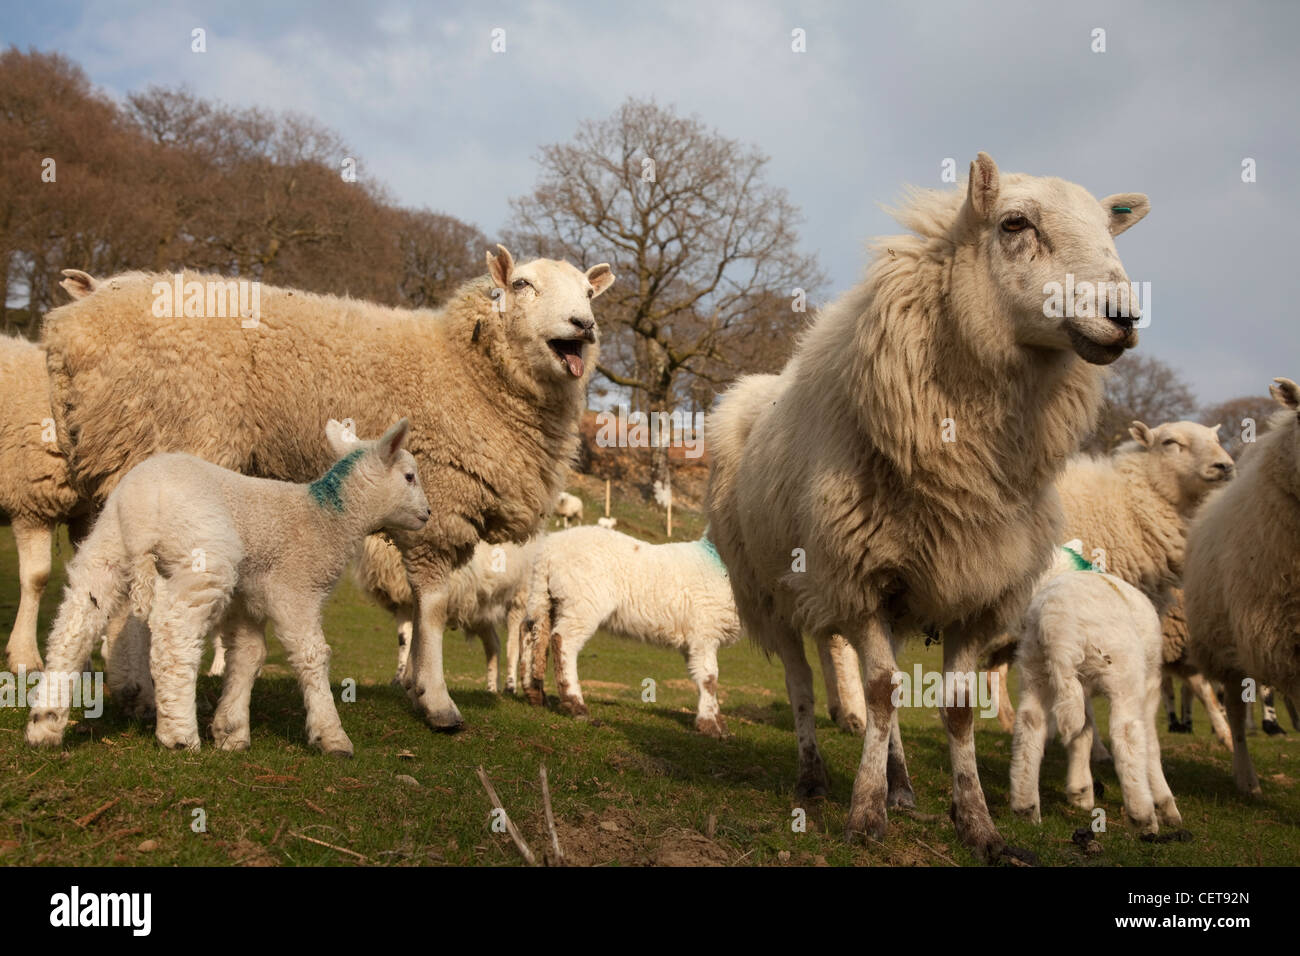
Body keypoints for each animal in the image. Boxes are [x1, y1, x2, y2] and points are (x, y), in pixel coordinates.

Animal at [25, 419, 428, 753]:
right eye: (410, 476)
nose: (427, 514)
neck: (328, 518)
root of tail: (141, 510)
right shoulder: (295, 590)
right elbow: (312, 655)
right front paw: (331, 736)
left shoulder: (246, 600)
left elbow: (249, 655)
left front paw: (231, 732)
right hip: (203, 559)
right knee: (174, 637)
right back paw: (179, 735)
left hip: (106, 549)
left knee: (74, 627)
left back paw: (45, 725)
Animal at [355, 534, 538, 692]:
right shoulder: (402, 603)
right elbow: (404, 640)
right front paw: (398, 679)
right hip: (481, 612)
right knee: (493, 645)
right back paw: (491, 689)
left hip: (519, 598)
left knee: (513, 645)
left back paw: (510, 687)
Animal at [520, 526, 741, 736]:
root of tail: (548, 551)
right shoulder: (704, 631)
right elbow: (709, 677)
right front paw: (710, 725)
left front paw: (719, 724)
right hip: (582, 600)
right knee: (563, 640)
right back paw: (575, 704)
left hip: (547, 596)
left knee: (532, 632)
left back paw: (535, 694)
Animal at [708, 152, 1150, 861]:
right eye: (1014, 223)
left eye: (1111, 232)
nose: (1123, 316)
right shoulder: (855, 575)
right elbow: (881, 692)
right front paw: (863, 816)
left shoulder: (975, 585)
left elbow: (955, 708)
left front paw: (978, 825)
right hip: (768, 588)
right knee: (802, 682)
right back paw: (814, 777)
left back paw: (902, 786)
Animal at [1008, 549, 1181, 834]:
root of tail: (1058, 625)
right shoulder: (1150, 686)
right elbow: (1151, 744)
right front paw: (1166, 805)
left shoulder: (1081, 689)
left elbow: (1084, 733)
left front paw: (1080, 791)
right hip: (1124, 672)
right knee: (1126, 734)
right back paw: (1143, 816)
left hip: (1035, 667)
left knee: (1030, 723)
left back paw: (1025, 807)